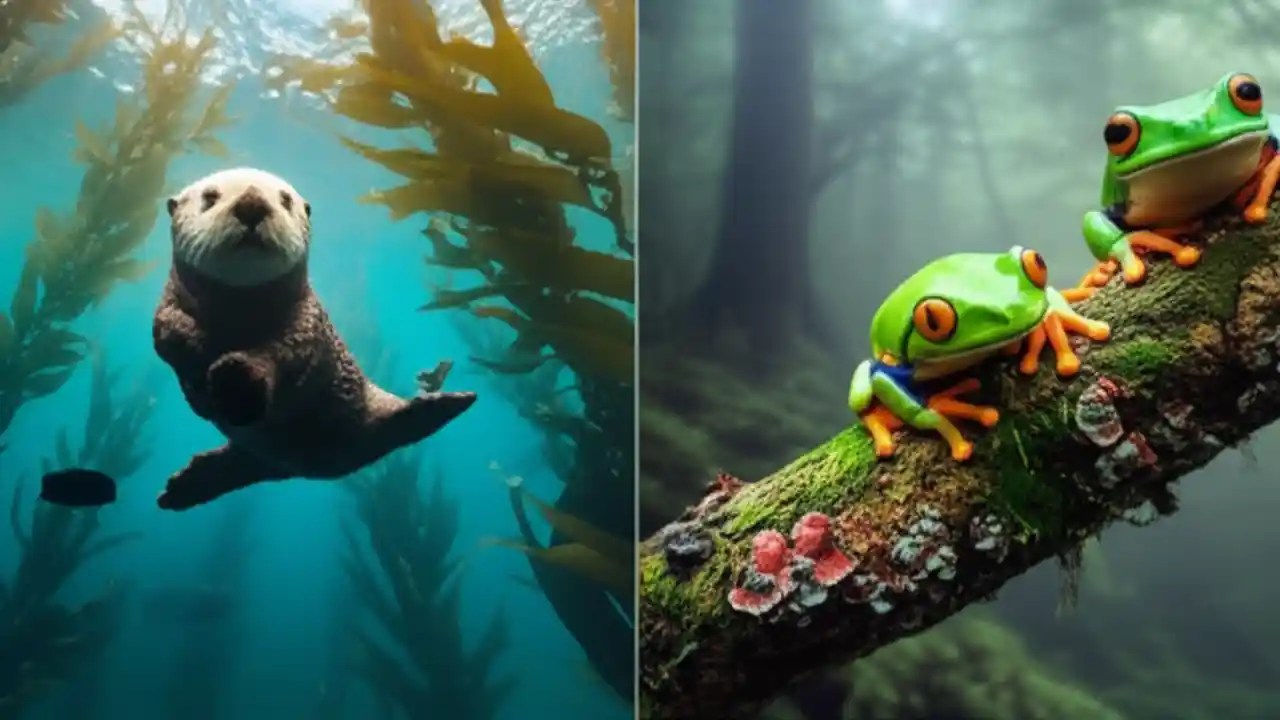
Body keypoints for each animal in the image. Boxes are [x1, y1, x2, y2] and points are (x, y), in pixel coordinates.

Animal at [152, 167, 476, 510]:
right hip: (258, 457)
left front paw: (234, 377)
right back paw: (182, 486)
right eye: (210, 197)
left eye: (285, 199)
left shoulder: (305, 321)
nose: (252, 203)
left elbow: (286, 353)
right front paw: (200, 367)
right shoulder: (168, 306)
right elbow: (167, 335)